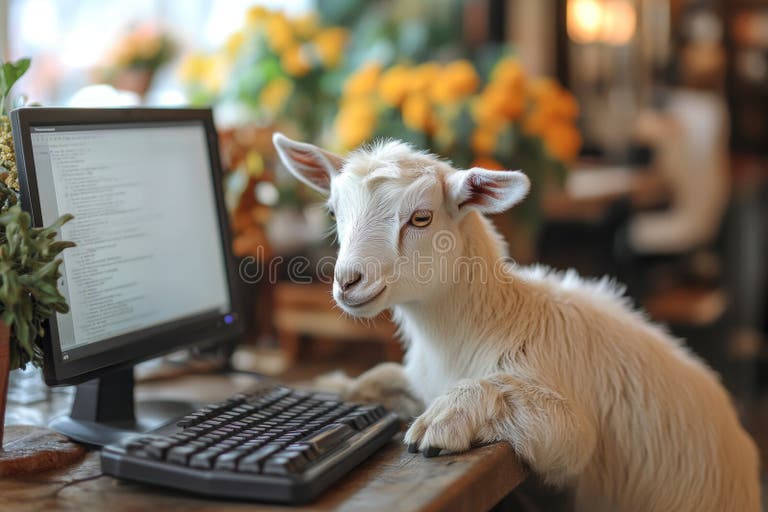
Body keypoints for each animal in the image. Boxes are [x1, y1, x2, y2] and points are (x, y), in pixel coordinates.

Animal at [273, 133, 761, 512]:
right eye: (333, 213)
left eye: (421, 217)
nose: (348, 281)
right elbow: (382, 376)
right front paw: (340, 386)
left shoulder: (569, 431)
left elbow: (519, 404)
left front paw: (444, 419)